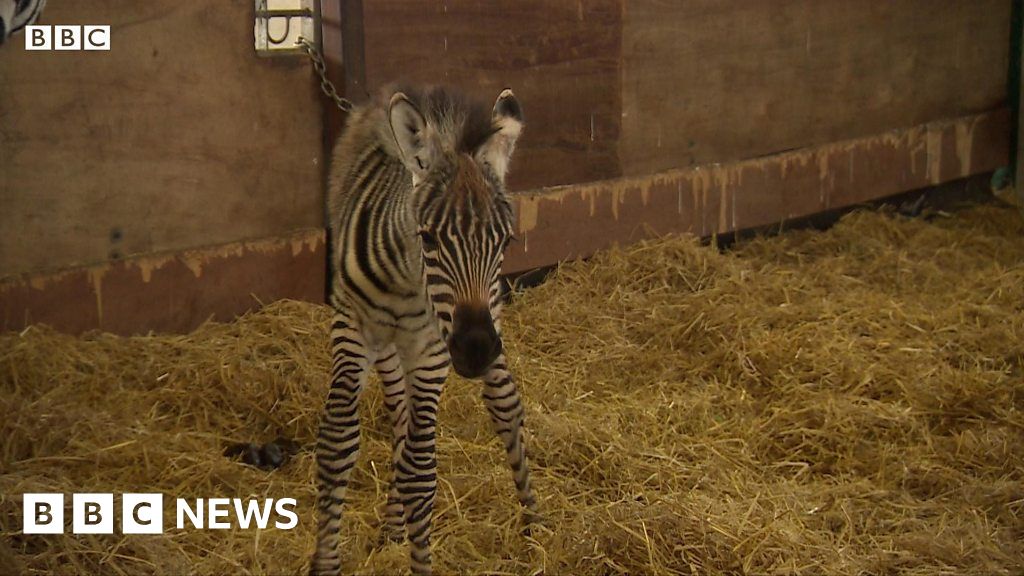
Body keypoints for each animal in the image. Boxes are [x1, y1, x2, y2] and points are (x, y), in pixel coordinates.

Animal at [312, 85, 538, 575]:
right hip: (392, 350)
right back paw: (393, 526)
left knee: (505, 406)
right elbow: (338, 445)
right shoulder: (352, 326)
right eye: (429, 238)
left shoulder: (435, 349)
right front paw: (325, 562)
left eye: (505, 241)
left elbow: (420, 470)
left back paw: (535, 523)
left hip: (479, 326)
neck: (406, 279)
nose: (474, 351)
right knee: (399, 418)